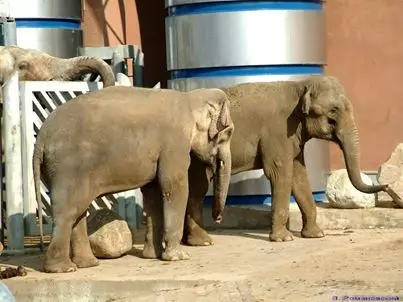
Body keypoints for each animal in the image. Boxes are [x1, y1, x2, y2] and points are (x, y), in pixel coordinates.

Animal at [33, 85, 235, 274]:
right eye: (227, 134)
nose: (218, 218)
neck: (190, 98)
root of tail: (41, 137)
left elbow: (152, 194)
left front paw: (151, 256)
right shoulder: (174, 143)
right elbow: (174, 187)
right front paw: (178, 257)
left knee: (78, 212)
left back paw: (88, 264)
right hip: (68, 168)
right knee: (68, 212)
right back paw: (63, 269)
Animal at [183, 75, 398, 245]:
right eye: (333, 112)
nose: (389, 188)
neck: (299, 86)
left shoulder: (292, 137)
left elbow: (298, 175)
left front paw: (316, 235)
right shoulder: (278, 132)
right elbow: (280, 173)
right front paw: (284, 239)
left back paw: (192, 242)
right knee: (198, 187)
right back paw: (203, 242)